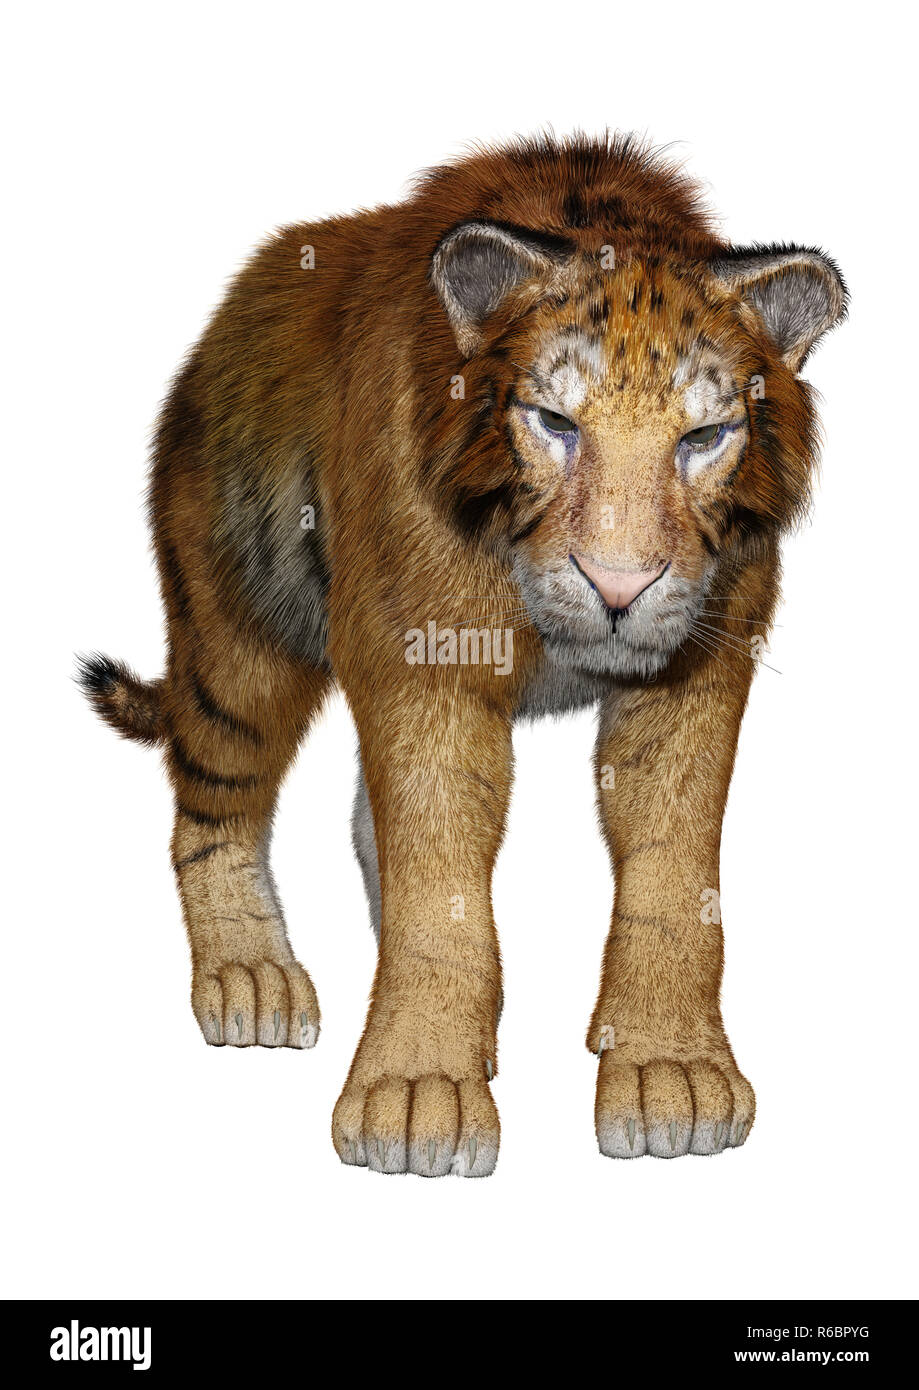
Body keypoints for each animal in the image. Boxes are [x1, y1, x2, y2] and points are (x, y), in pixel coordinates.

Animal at [80, 133, 846, 1176]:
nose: (617, 588)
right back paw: (250, 980)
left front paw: (671, 1074)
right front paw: (416, 1096)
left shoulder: (693, 669)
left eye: (702, 436)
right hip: (243, 633)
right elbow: (439, 883)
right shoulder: (425, 665)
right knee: (212, 806)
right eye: (555, 424)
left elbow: (671, 875)